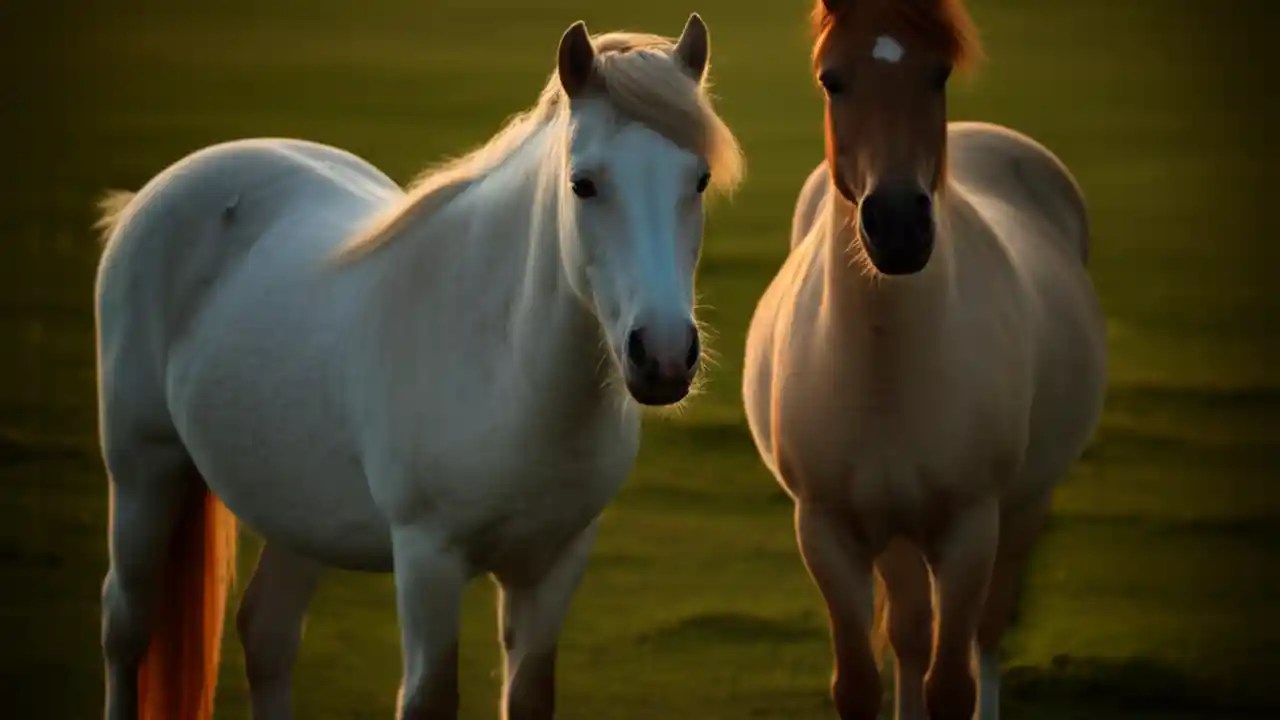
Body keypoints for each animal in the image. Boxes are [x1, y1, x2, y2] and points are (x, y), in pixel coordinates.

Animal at [94, 15, 741, 720]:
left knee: (267, 634)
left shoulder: (554, 563)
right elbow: (429, 696)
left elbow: (529, 693)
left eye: (699, 180)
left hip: (298, 511)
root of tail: (157, 194)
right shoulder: (428, 560)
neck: (508, 374)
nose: (663, 355)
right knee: (127, 626)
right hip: (143, 471)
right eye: (584, 184)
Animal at [742, 1, 1105, 719]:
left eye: (938, 74)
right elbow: (861, 682)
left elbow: (953, 683)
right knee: (911, 633)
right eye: (831, 79)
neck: (883, 367)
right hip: (898, 532)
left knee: (986, 633)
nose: (899, 226)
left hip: (1024, 506)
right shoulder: (826, 531)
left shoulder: (970, 530)